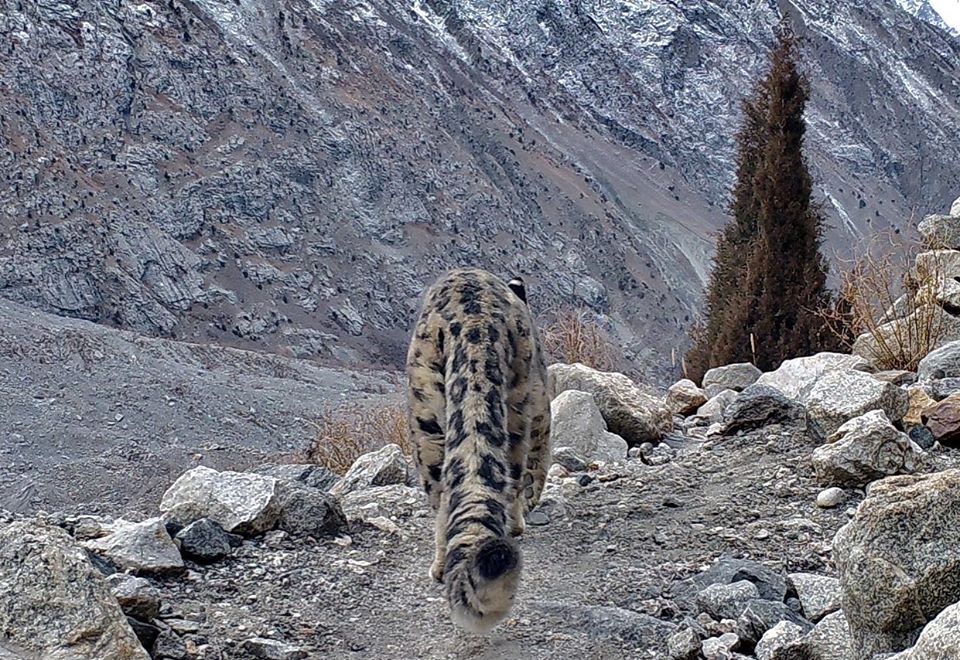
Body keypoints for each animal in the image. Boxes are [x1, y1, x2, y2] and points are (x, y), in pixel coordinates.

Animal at [405, 268, 552, 633]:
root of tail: (474, 322)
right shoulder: (542, 410)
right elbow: (537, 470)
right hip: (516, 406)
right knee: (512, 475)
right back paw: (514, 527)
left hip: (424, 408)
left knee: (442, 492)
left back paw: (440, 566)